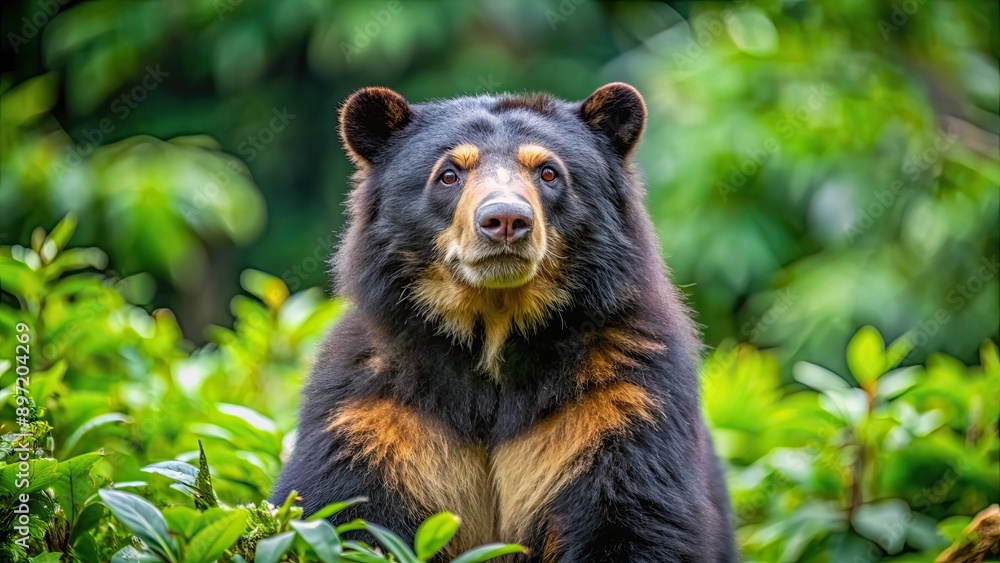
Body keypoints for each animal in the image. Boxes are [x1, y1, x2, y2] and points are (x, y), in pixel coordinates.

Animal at [270, 83, 737, 562]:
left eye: (549, 173)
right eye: (449, 174)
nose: (506, 220)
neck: (494, 327)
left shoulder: (619, 401)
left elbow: (634, 514)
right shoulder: (375, 412)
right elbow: (346, 504)